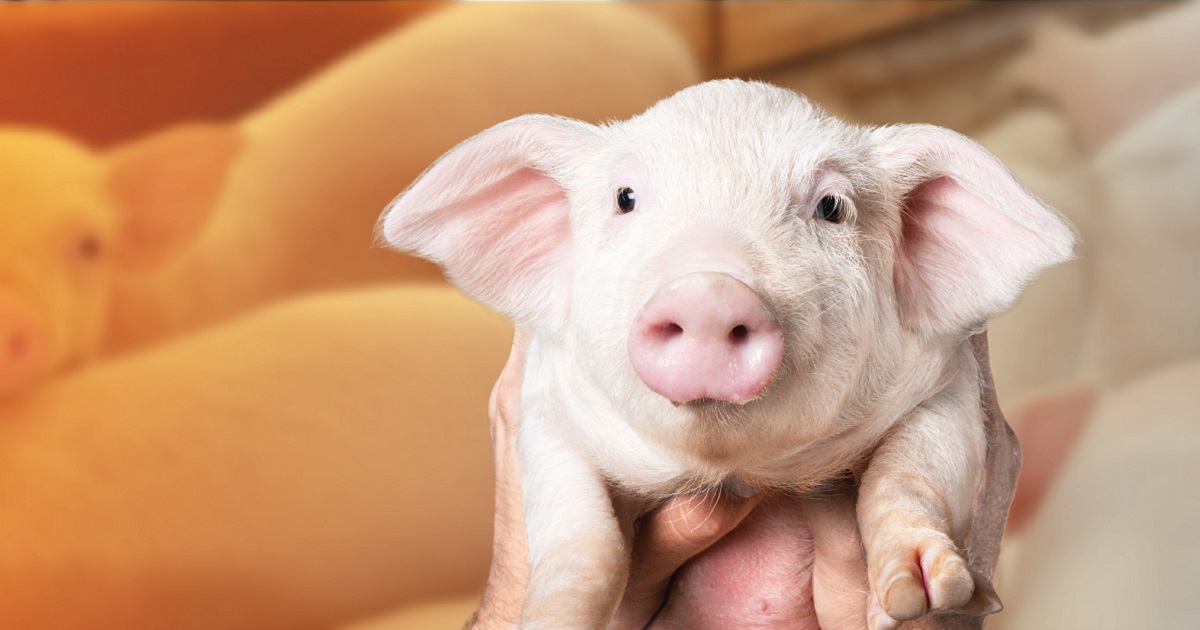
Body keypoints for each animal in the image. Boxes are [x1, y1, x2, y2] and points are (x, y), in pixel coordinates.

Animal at [380, 79, 1075, 629]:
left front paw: (927, 593)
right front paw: (552, 619)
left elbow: (914, 473)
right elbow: (578, 533)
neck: (735, 472)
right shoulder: (544, 407)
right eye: (625, 197)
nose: (709, 290)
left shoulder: (949, 380)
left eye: (831, 207)